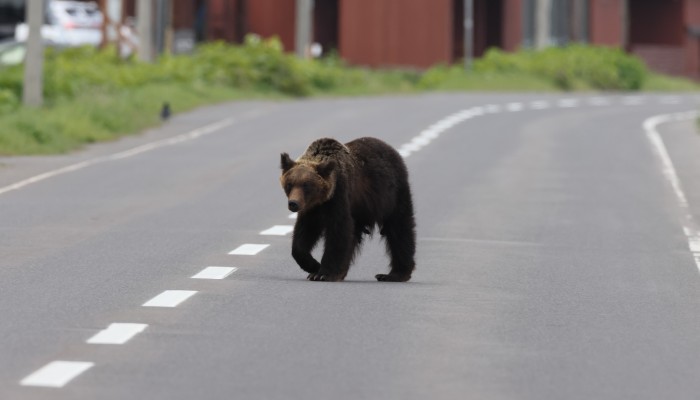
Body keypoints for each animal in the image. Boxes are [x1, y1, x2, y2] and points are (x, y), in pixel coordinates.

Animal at [279, 137, 416, 282]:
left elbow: (338, 231)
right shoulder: (312, 209)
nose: (293, 203)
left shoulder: (340, 196)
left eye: (306, 185)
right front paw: (313, 267)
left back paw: (394, 274)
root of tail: (391, 149)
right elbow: (304, 234)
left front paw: (323, 273)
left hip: (392, 195)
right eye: (289, 184)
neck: (322, 200)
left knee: (400, 229)